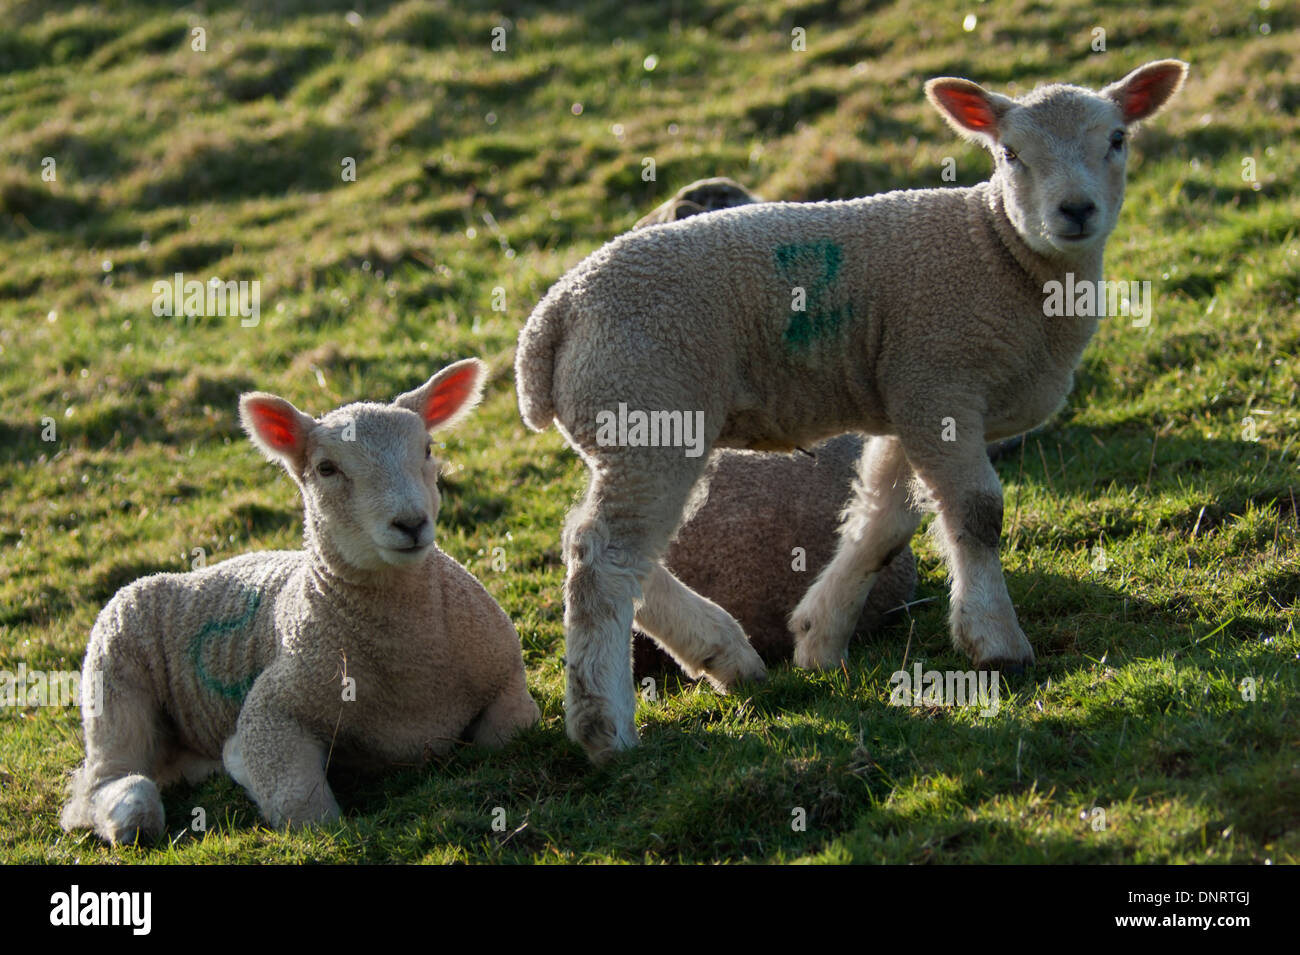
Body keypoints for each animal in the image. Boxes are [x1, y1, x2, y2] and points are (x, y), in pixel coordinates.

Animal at [61, 359, 539, 844]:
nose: (410, 523)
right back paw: (132, 815)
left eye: (427, 448)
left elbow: (514, 728)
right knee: (98, 782)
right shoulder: (272, 709)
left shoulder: (506, 675)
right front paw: (244, 763)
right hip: (112, 668)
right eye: (326, 468)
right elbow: (303, 811)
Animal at [515, 60, 1188, 761]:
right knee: (603, 558)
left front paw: (819, 637)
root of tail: (552, 318)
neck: (1001, 252)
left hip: (634, 426)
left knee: (596, 544)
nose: (1076, 210)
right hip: (648, 412)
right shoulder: (937, 380)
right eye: (1010, 153)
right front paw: (996, 644)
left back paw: (727, 656)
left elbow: (885, 520)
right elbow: (977, 513)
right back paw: (606, 728)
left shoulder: (907, 397)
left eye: (1117, 139)